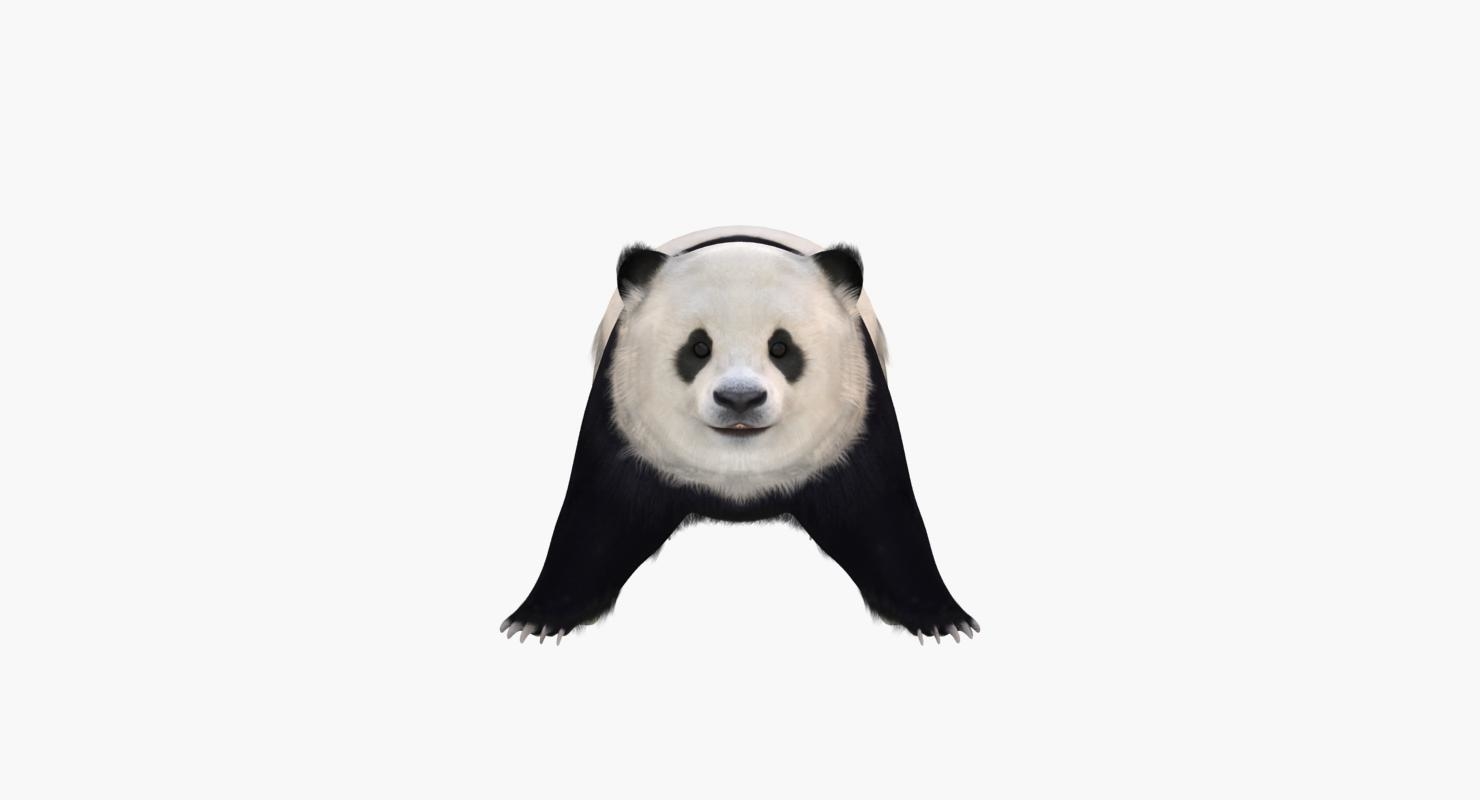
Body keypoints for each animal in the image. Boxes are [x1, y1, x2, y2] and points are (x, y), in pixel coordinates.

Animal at [502, 226, 977, 645]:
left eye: (782, 347)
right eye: (698, 348)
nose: (740, 399)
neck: (739, 479)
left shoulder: (855, 424)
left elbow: (881, 521)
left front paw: (942, 618)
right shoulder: (623, 425)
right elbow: (597, 523)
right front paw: (537, 618)